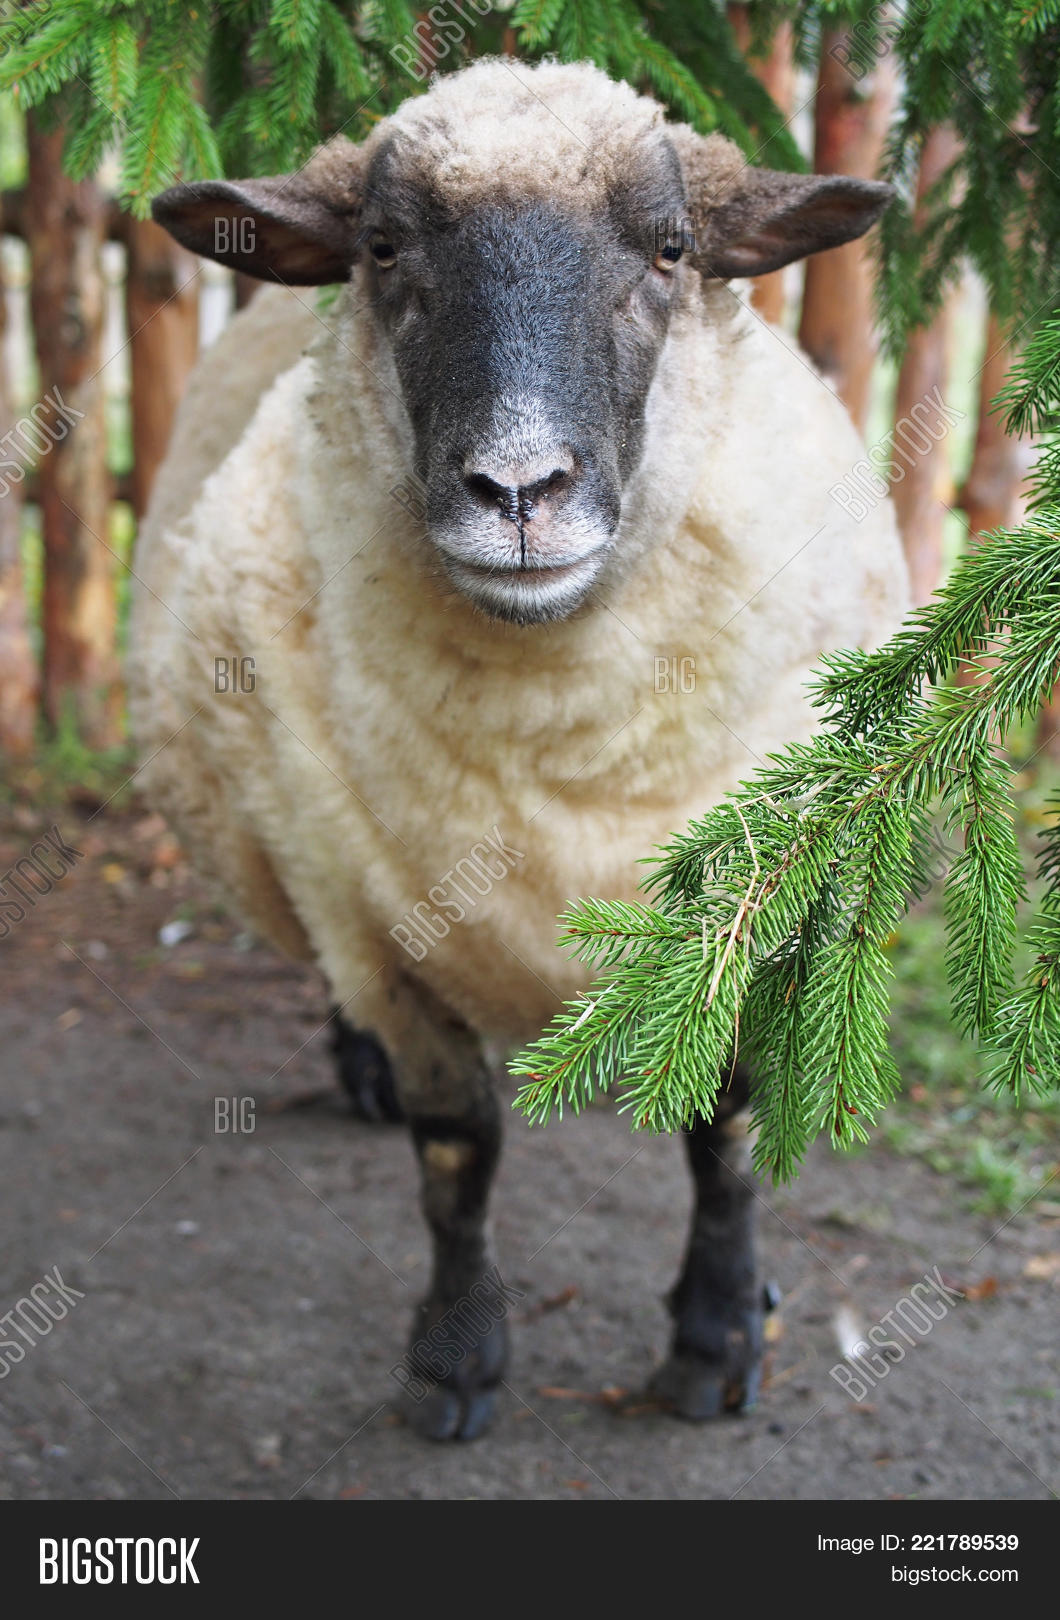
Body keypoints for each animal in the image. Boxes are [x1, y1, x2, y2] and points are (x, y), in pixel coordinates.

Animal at [129, 57, 910, 1442]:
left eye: (670, 249)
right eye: (383, 248)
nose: (517, 491)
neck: (564, 744)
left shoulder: (756, 900)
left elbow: (726, 1130)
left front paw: (717, 1337)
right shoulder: (384, 930)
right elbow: (457, 1154)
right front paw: (454, 1358)